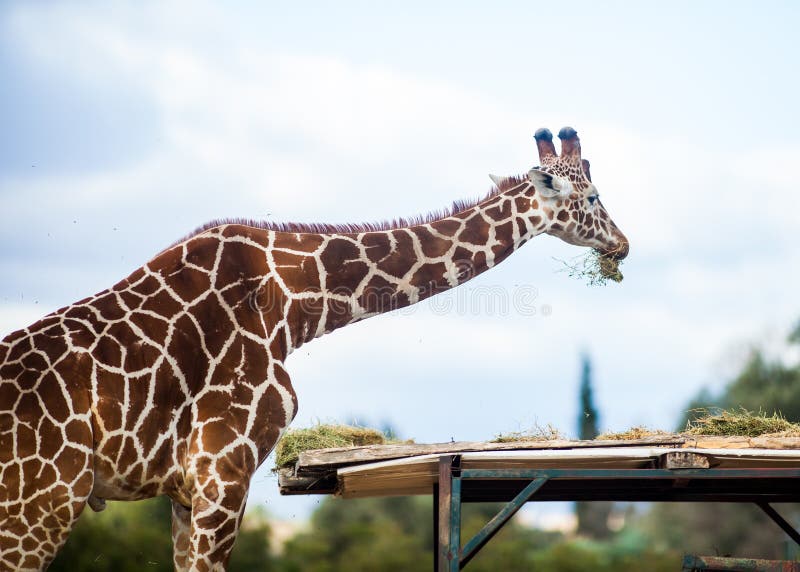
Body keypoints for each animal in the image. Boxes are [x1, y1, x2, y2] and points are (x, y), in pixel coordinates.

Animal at [0, 127, 628, 571]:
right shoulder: (223, 472)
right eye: (595, 195)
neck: (292, 301)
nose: (622, 244)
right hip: (41, 505)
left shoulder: (187, 490)